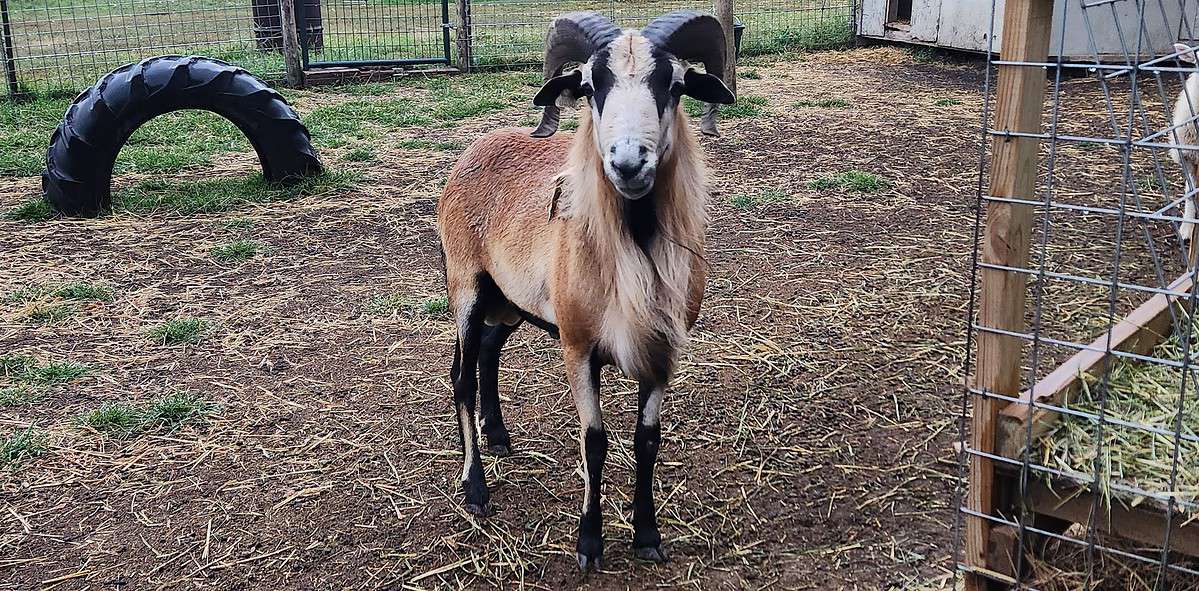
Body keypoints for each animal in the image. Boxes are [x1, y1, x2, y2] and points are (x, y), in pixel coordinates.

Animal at [435, 10, 735, 570]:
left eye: (675, 84)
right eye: (592, 85)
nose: (628, 163)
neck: (631, 252)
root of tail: (476, 147)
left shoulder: (661, 351)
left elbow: (647, 440)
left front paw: (647, 536)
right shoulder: (577, 347)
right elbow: (594, 442)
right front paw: (589, 544)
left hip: (509, 303)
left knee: (487, 351)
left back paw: (498, 435)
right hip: (466, 285)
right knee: (461, 376)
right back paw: (474, 487)